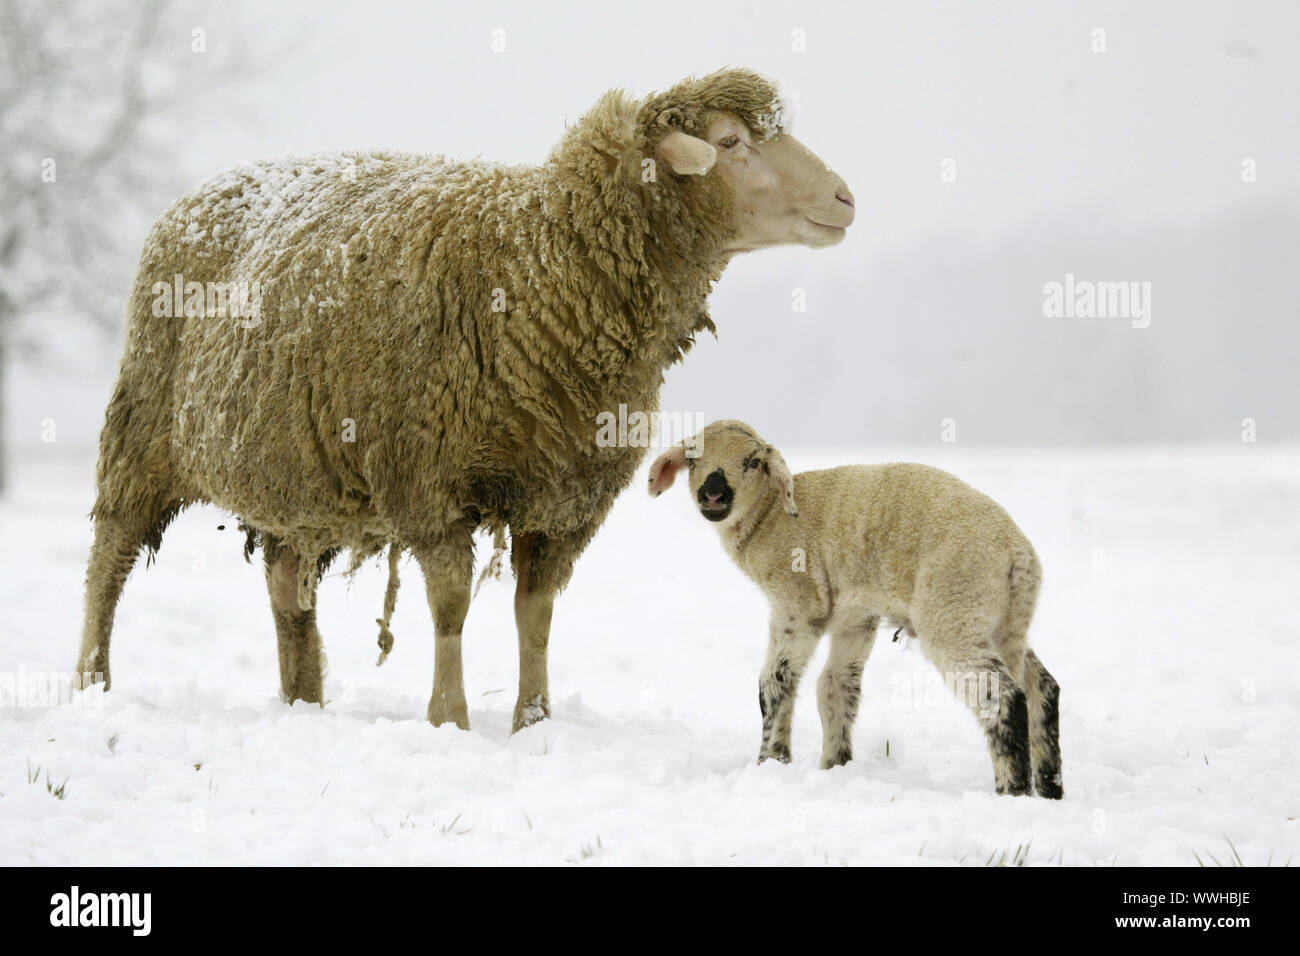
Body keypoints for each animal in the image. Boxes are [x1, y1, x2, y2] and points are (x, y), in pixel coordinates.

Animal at [75, 69, 855, 732]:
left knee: (287, 591)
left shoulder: (564, 495)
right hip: (142, 429)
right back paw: (92, 684)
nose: (846, 199)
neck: (544, 267)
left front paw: (533, 721)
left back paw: (305, 703)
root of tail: (199, 191)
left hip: (297, 478)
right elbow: (449, 607)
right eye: (731, 143)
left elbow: (535, 614)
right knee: (109, 561)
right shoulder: (427, 478)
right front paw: (447, 717)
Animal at [648, 420, 1063, 798]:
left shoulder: (797, 605)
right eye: (692, 457)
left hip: (954, 610)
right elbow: (834, 686)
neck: (769, 516)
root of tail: (1018, 556)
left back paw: (1013, 791)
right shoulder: (855, 616)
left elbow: (775, 684)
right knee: (1043, 685)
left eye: (753, 462)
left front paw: (770, 762)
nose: (713, 494)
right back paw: (1049, 785)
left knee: (1003, 697)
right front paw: (835, 766)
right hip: (1000, 620)